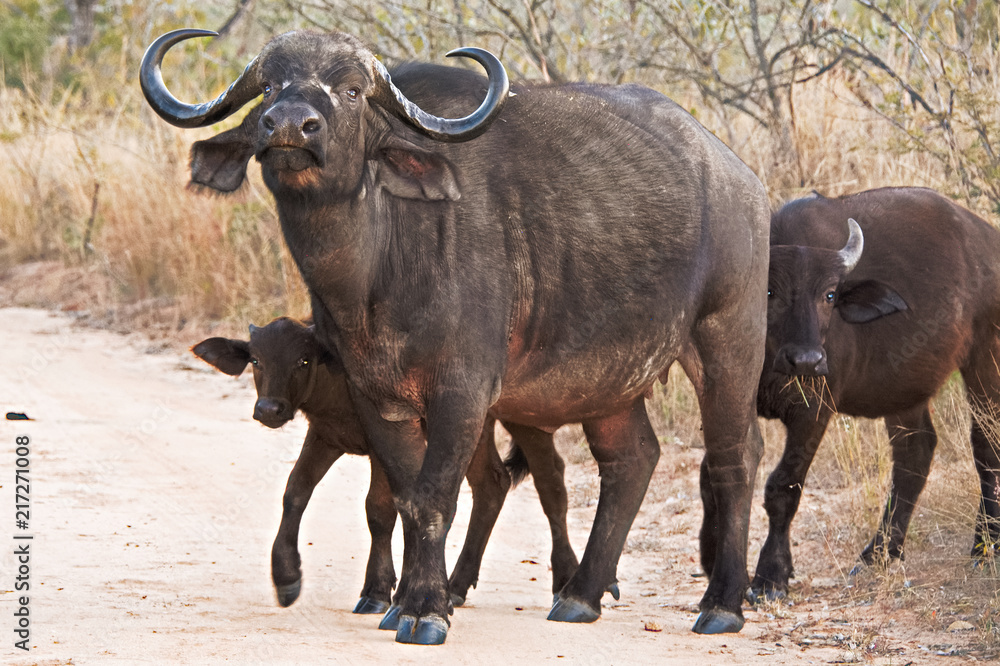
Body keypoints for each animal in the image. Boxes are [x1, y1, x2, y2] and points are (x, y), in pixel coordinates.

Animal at [192, 316, 578, 612]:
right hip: (479, 429)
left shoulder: (381, 447)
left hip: (529, 418)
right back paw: (456, 585)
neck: (338, 384)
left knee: (551, 484)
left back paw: (566, 582)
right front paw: (286, 576)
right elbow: (295, 491)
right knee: (492, 484)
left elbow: (379, 511)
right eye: (256, 360)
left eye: (303, 360)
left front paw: (377, 591)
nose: (269, 409)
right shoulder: (324, 436)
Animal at [750, 187, 1000, 604]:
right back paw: (880, 553)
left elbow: (783, 486)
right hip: (905, 386)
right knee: (915, 452)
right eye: (770, 291)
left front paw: (770, 577)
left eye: (829, 295)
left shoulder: (814, 409)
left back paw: (985, 547)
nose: (808, 360)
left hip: (986, 358)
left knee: (986, 444)